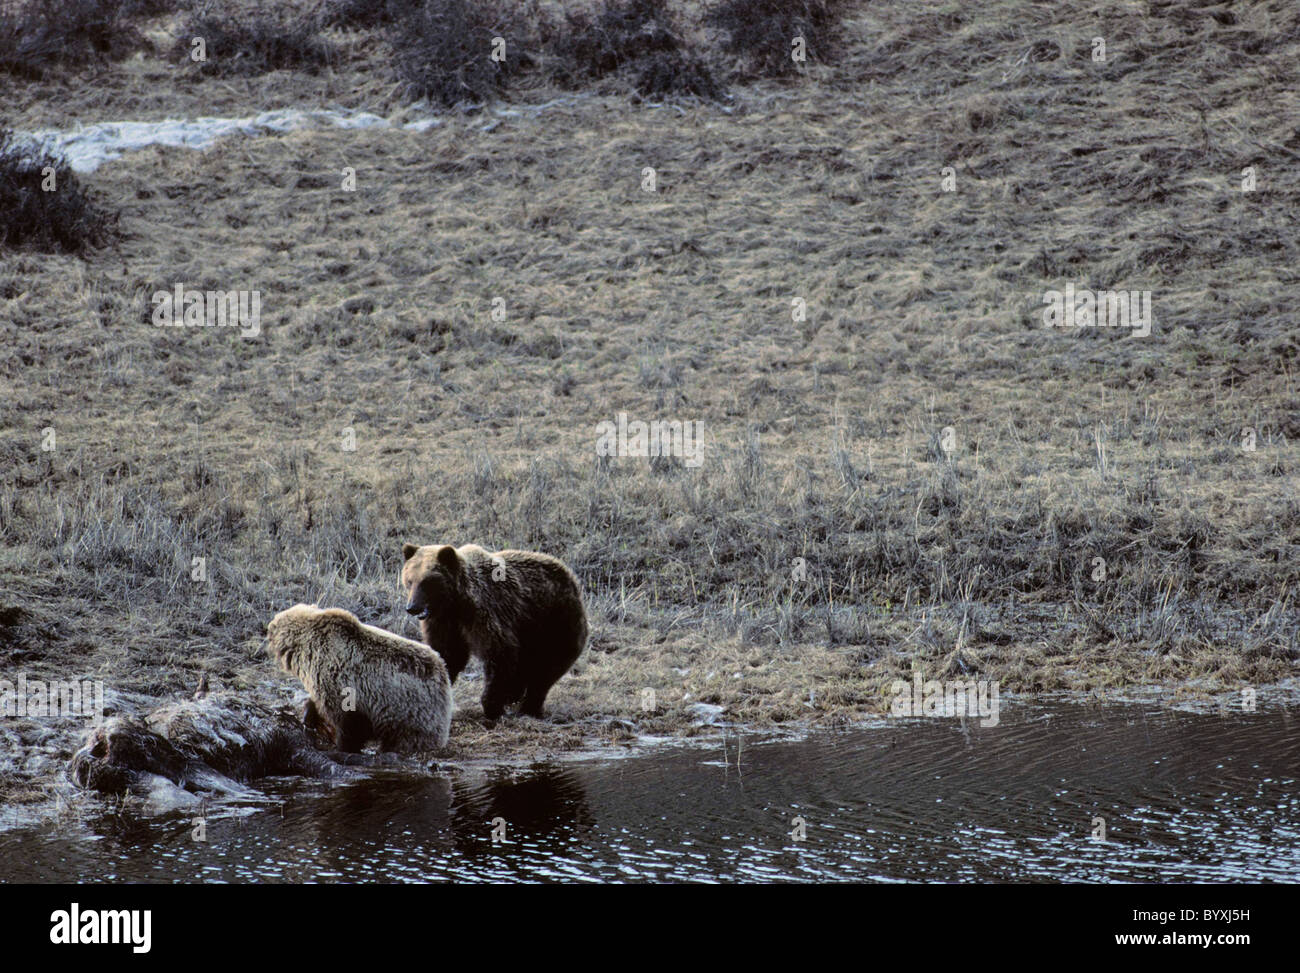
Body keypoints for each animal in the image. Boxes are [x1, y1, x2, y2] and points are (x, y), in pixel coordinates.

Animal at [266, 604, 452, 753]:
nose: (268, 626)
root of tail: (443, 673)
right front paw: (308, 717)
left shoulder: (340, 681)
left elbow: (347, 725)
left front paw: (342, 746)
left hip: (411, 711)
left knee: (406, 738)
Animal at [400, 543, 588, 720]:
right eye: (409, 580)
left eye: (426, 582)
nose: (412, 607)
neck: (456, 604)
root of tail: (570, 575)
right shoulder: (445, 622)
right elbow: (448, 654)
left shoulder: (487, 612)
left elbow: (499, 652)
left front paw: (492, 706)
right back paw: (514, 696)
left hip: (555, 621)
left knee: (546, 667)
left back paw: (530, 707)